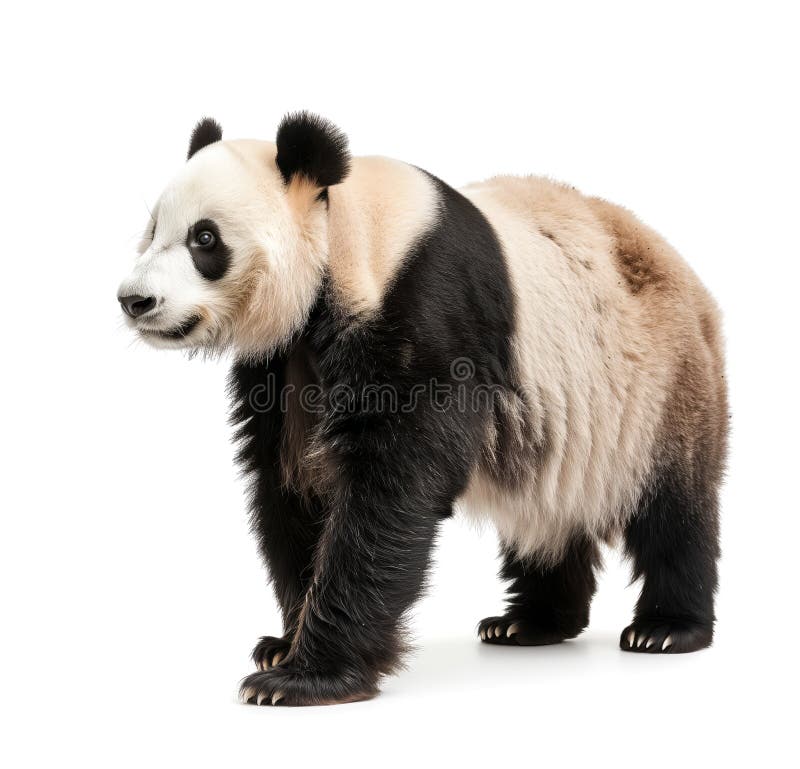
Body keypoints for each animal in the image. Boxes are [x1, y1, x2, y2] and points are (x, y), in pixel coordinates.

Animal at [118, 112, 728, 706]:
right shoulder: (285, 360)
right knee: (548, 503)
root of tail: (690, 279)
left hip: (657, 384)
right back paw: (531, 622)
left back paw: (665, 629)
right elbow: (293, 482)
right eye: (152, 231)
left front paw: (306, 677)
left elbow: (393, 483)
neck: (347, 235)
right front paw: (282, 647)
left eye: (204, 238)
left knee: (673, 509)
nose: (134, 300)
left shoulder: (426, 309)